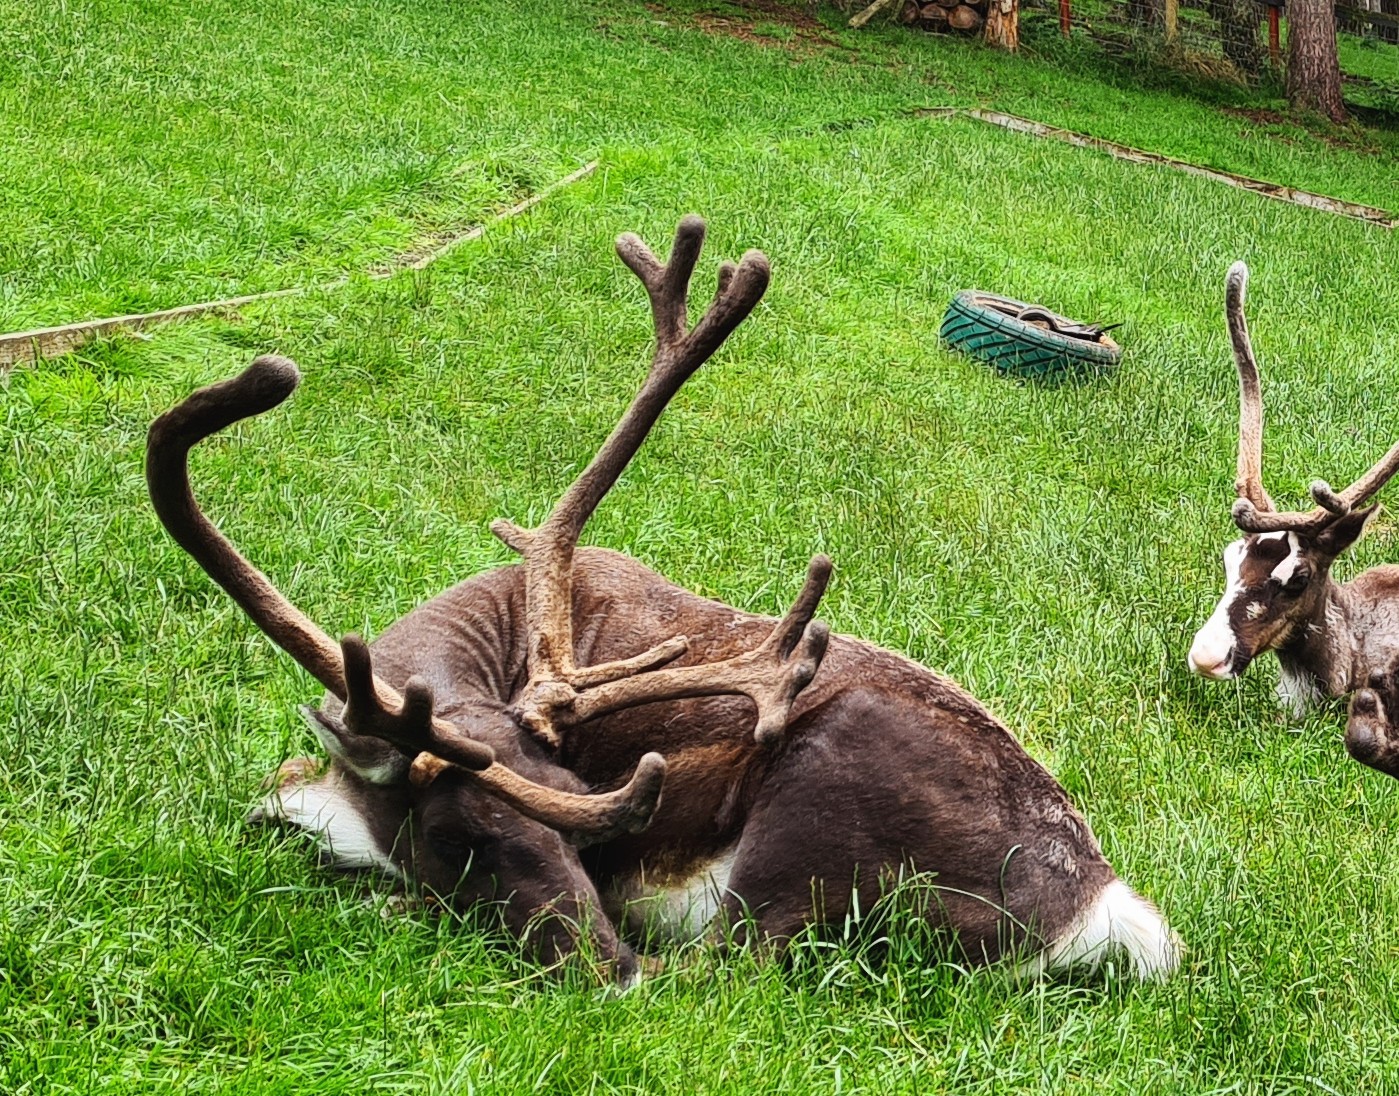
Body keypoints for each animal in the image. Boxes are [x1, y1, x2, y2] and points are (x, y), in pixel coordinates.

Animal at [148, 215, 1180, 987]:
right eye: (456, 834)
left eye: (589, 812)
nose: (608, 969)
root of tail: (1096, 913)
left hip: (812, 826)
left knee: (730, 965)